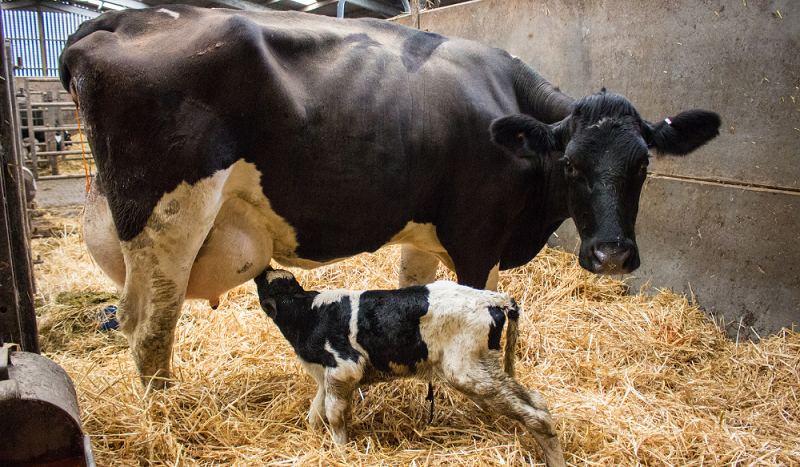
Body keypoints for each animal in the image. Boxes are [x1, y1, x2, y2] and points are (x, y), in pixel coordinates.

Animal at [58, 5, 721, 388]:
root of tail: (117, 21)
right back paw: (163, 410)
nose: (611, 255)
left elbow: (419, 296)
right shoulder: (478, 240)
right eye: (572, 164)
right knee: (149, 326)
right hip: (166, 221)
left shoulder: (423, 236)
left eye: (643, 167)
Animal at [254, 268, 565, 467]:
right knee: (538, 400)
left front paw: (341, 452)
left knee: (537, 415)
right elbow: (315, 413)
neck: (308, 313)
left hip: (469, 373)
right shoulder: (325, 375)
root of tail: (492, 298)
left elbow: (334, 415)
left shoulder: (344, 367)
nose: (261, 269)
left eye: (260, 286)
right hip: (485, 368)